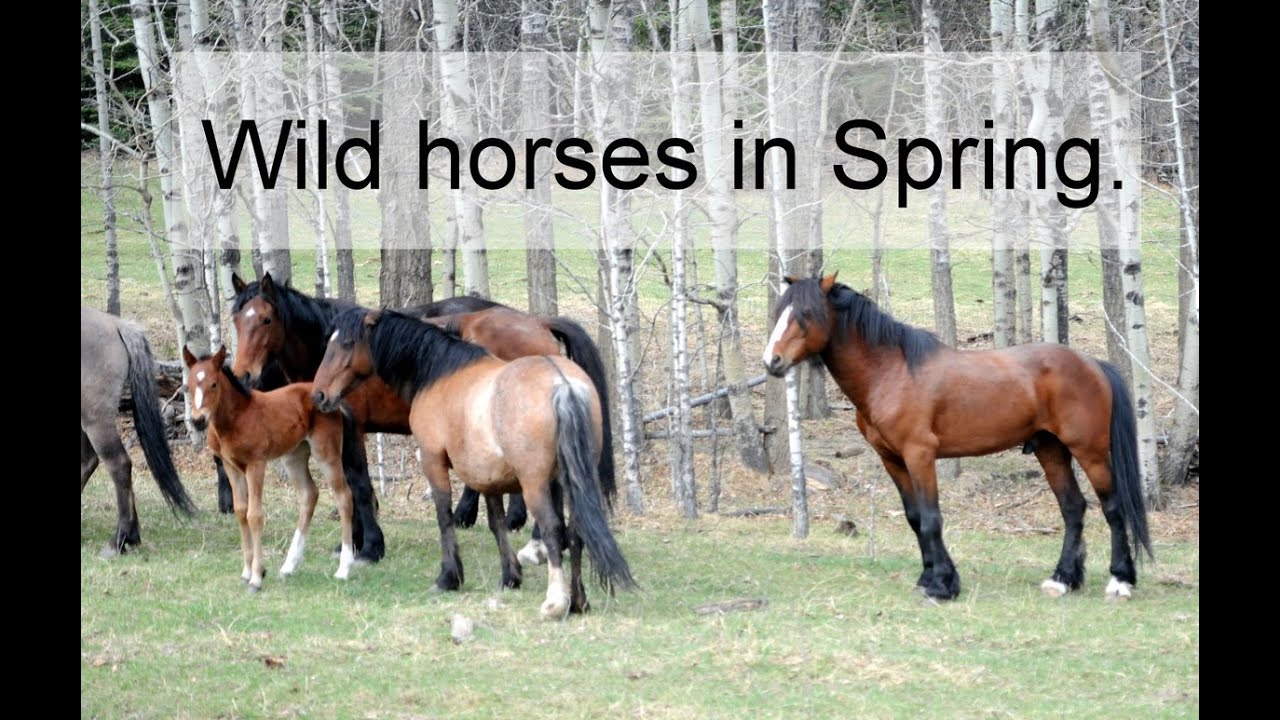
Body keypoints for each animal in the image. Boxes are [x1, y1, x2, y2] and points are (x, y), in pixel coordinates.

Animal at [183, 346, 355, 591]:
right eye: (188, 385)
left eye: (214, 384)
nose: (198, 421)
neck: (236, 418)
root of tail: (332, 400)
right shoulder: (231, 466)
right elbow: (240, 511)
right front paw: (247, 571)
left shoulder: (256, 464)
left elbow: (254, 515)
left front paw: (257, 576)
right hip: (294, 457)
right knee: (309, 495)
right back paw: (289, 566)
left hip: (326, 453)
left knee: (344, 497)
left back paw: (343, 569)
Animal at [228, 272, 616, 563]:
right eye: (236, 319)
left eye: (266, 319)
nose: (243, 374)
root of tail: (537, 323)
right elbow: (350, 484)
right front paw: (354, 541)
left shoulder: (352, 426)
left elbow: (360, 484)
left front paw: (370, 546)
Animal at [312, 307, 634, 620]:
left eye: (347, 343)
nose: (319, 394)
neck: (439, 374)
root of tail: (562, 384)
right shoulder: (488, 478)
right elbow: (496, 524)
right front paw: (509, 577)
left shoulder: (433, 461)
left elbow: (444, 517)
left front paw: (448, 577)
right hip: (569, 480)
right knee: (576, 532)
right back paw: (578, 601)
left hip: (536, 485)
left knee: (554, 529)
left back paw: (555, 602)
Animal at [762, 273, 1152, 601]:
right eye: (780, 312)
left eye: (806, 313)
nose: (772, 361)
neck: (891, 372)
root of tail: (1093, 364)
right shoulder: (892, 459)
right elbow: (915, 518)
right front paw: (930, 577)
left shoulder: (919, 455)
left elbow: (931, 518)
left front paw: (941, 585)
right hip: (1051, 450)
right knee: (1073, 508)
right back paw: (1062, 579)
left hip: (1089, 452)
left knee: (1112, 507)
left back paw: (1120, 581)